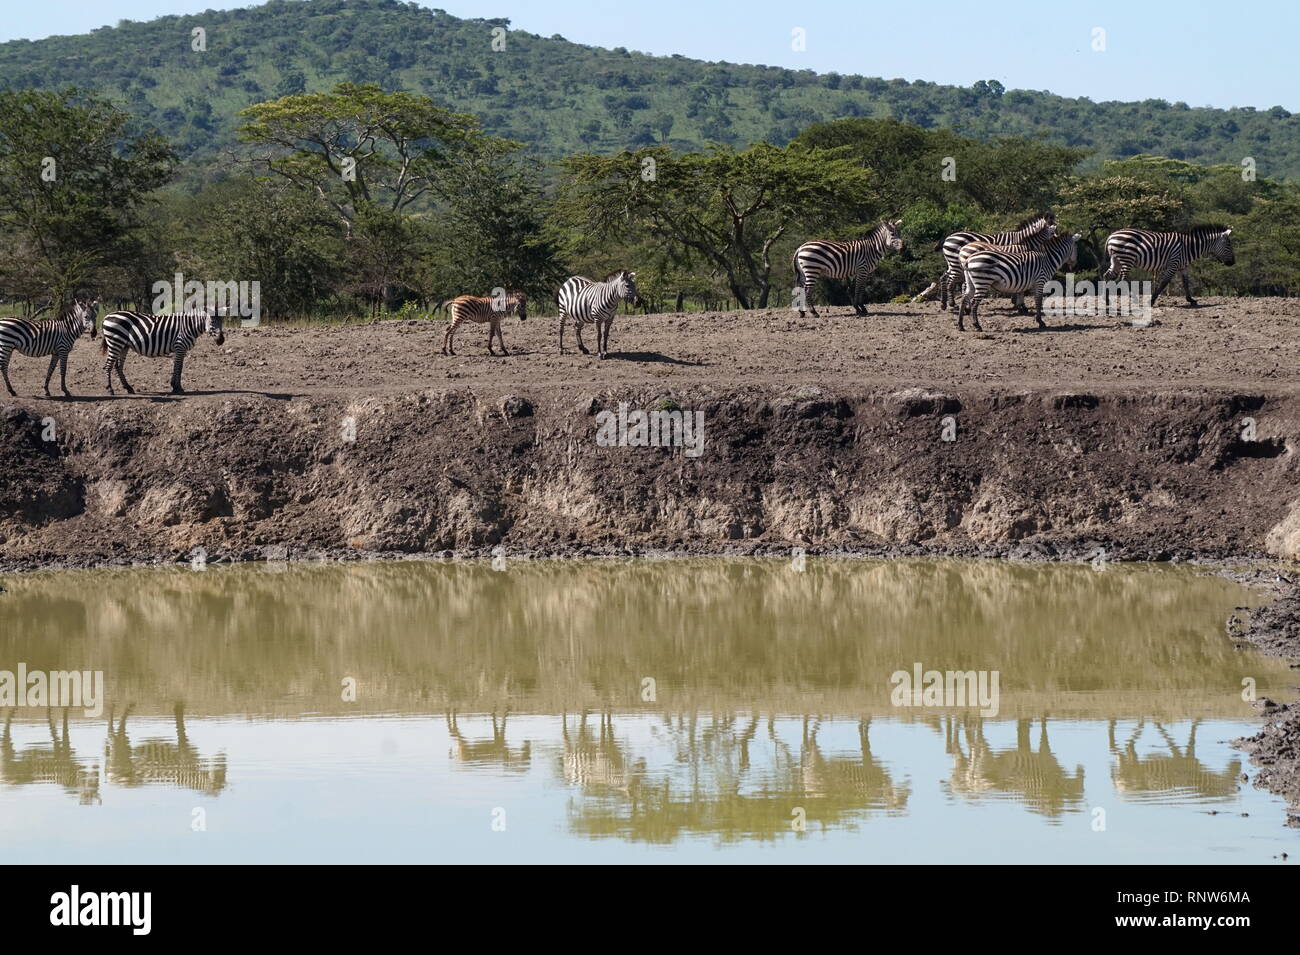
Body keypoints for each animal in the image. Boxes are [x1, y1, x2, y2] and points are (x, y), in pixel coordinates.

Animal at [1102, 225, 1235, 307]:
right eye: (1229, 245)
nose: (1233, 263)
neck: (1189, 247)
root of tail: (1111, 236)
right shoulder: (1173, 263)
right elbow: (1164, 283)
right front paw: (1151, 300)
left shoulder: (1183, 266)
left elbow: (1185, 282)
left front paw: (1191, 300)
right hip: (1127, 258)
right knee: (1122, 279)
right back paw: (1132, 299)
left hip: (1116, 259)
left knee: (1107, 275)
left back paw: (1106, 299)